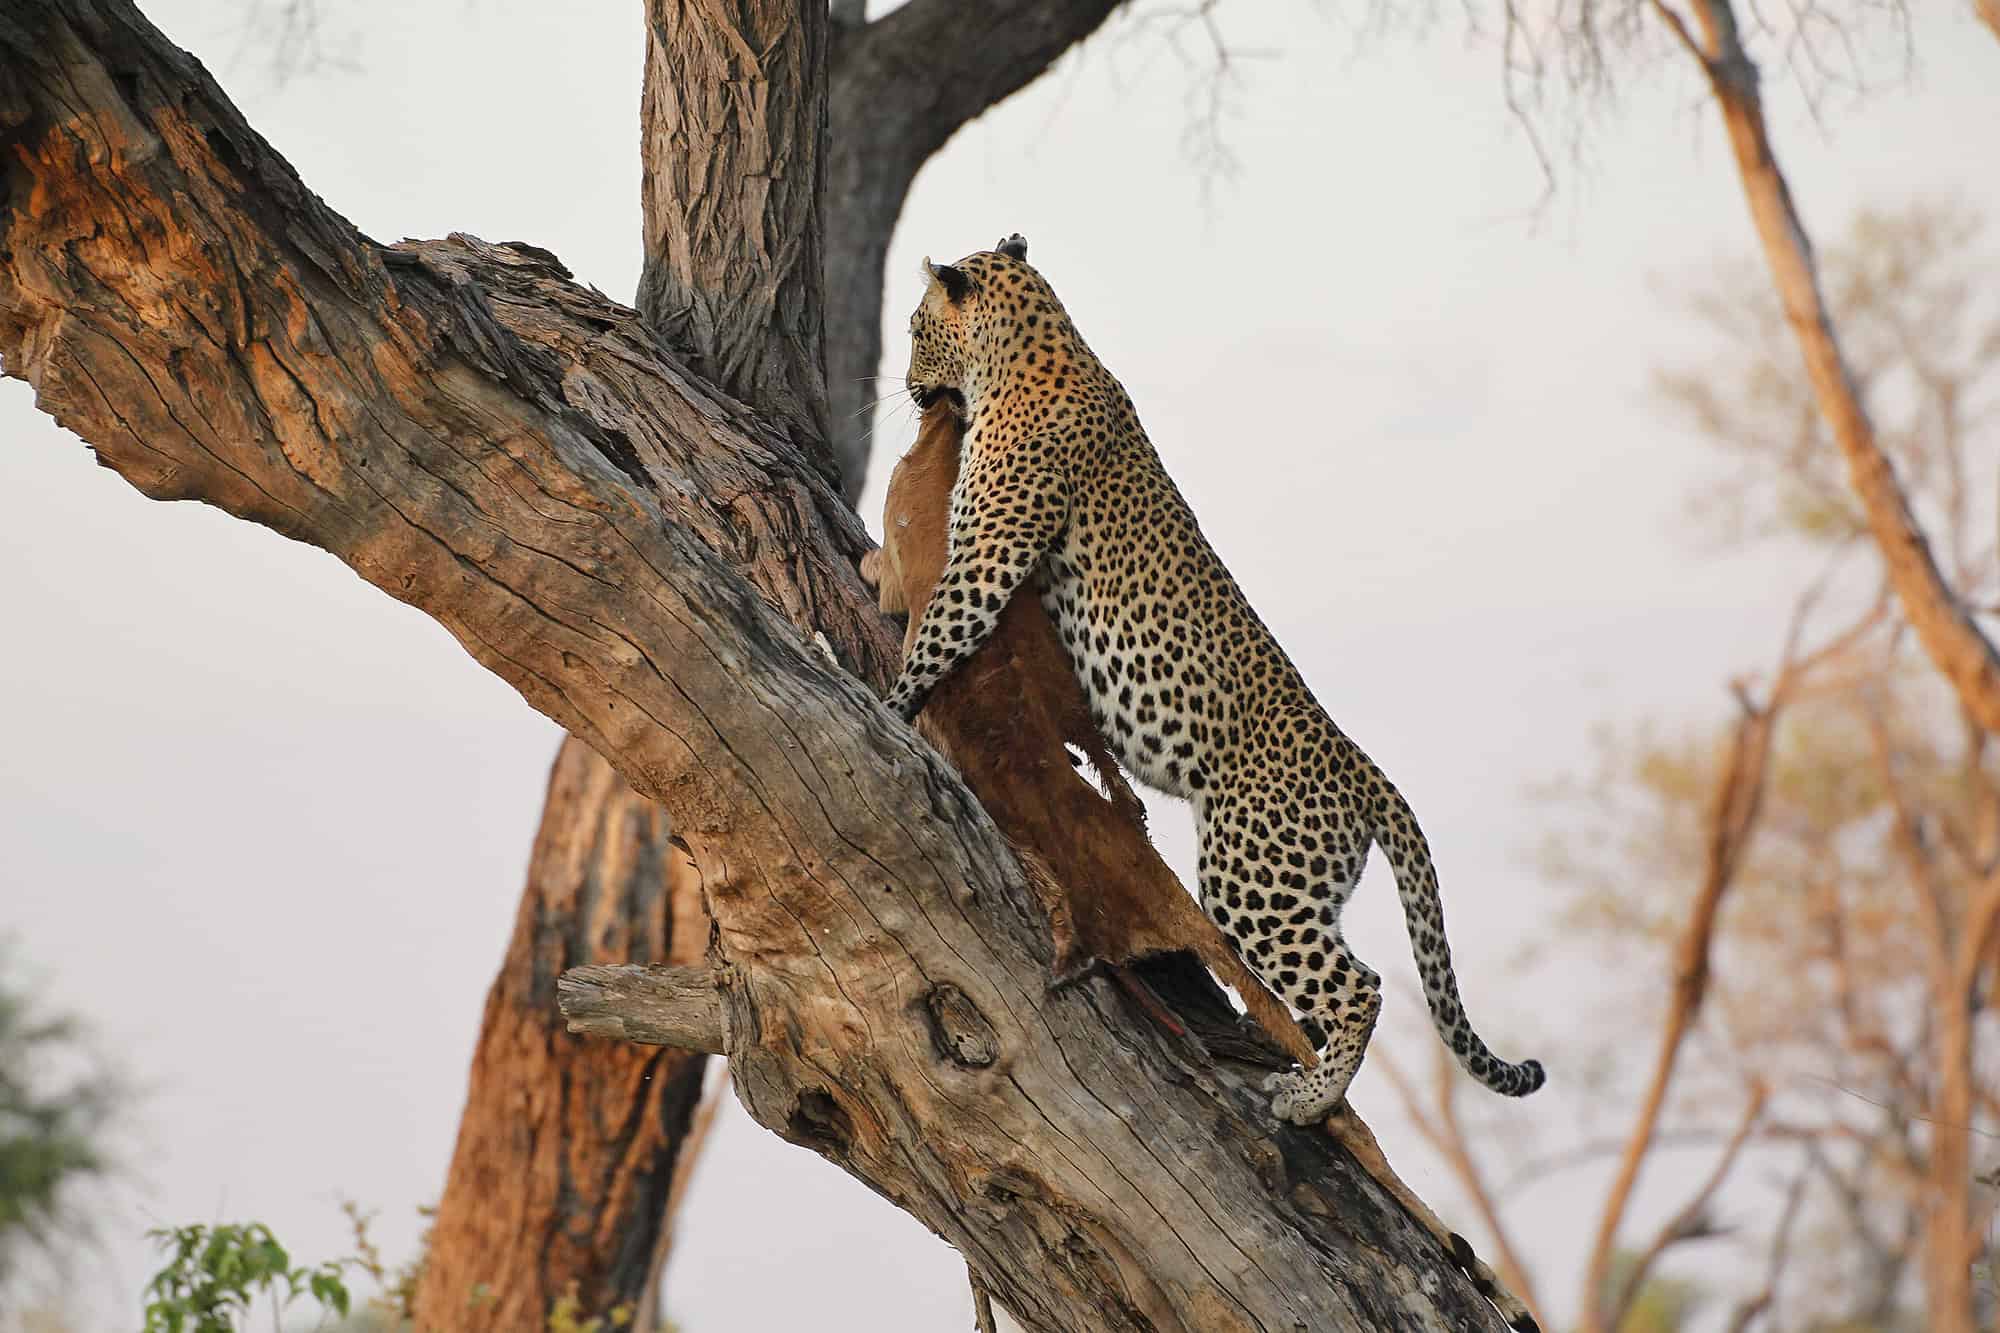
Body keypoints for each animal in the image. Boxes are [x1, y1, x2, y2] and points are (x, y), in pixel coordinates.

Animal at [883, 233, 1545, 1126]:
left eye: (916, 329)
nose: (908, 383)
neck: (1039, 340)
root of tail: (1365, 771)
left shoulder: (987, 558)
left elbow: (934, 638)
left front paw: (883, 700)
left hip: (1251, 876)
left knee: (1361, 986)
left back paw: (1304, 1099)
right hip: (1299, 889)